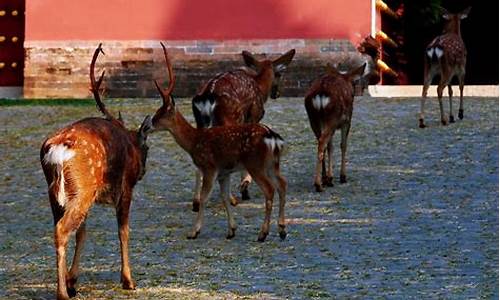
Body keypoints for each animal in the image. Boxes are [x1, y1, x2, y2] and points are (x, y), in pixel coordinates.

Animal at [40, 44, 152, 300]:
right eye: (147, 148)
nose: (142, 172)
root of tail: (57, 150)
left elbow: (83, 232)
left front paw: (73, 280)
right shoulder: (126, 187)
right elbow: (123, 230)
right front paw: (129, 280)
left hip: (59, 194)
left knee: (65, 228)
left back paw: (65, 287)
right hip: (83, 188)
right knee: (62, 230)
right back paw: (61, 293)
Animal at [190, 48, 292, 206]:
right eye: (279, 73)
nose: (277, 93)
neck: (260, 87)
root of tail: (207, 95)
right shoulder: (253, 116)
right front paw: (245, 188)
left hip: (201, 123)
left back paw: (197, 201)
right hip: (230, 119)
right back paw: (231, 199)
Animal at [302, 62, 366, 192]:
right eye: (354, 84)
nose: (354, 94)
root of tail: (321, 93)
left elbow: (331, 147)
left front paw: (329, 178)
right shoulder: (346, 121)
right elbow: (343, 145)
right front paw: (342, 177)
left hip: (314, 119)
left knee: (321, 142)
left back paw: (323, 179)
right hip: (332, 118)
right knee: (322, 142)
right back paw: (318, 184)